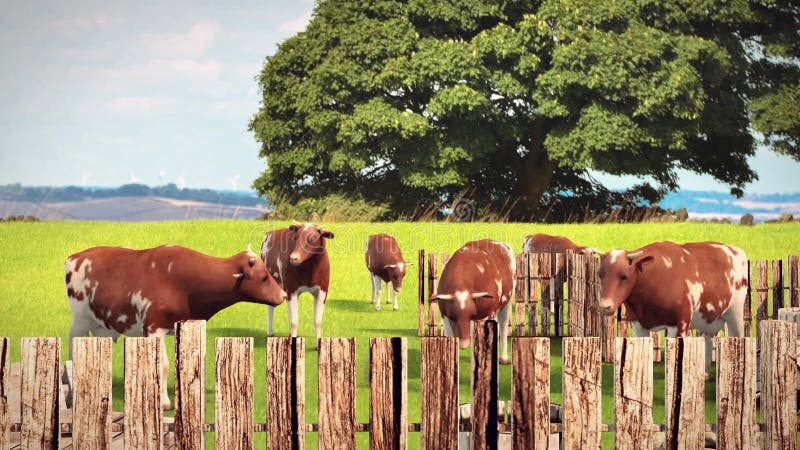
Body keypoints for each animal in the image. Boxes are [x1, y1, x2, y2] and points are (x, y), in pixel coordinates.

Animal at [64, 244, 287, 409]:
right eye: (264, 277)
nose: (283, 295)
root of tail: (76, 256)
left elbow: (196, 361)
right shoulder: (154, 327)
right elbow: (163, 364)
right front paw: (164, 402)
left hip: (99, 325)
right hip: (80, 321)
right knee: (73, 349)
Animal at [595, 241, 747, 372]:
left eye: (624, 276)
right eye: (600, 275)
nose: (604, 306)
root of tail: (735, 250)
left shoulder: (680, 323)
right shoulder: (638, 324)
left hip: (735, 314)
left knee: (737, 336)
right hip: (708, 319)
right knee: (707, 340)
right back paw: (705, 374)